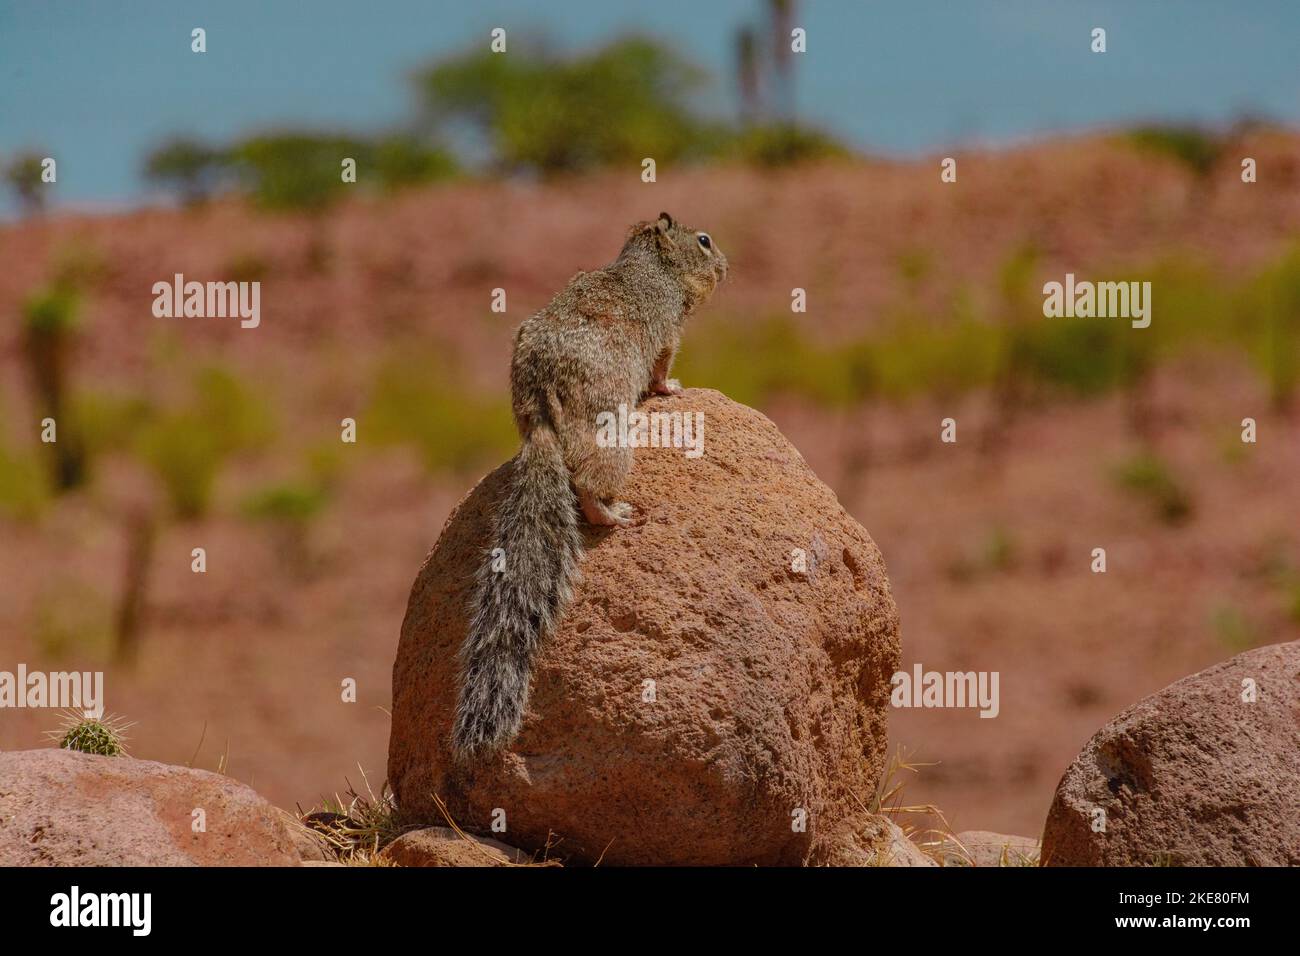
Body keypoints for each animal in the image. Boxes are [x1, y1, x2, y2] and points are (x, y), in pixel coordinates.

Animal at [451, 212, 729, 757]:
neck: (650, 263)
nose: (727, 266)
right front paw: (672, 388)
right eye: (705, 241)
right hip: (609, 431)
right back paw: (613, 514)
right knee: (587, 481)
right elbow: (662, 368)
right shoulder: (667, 333)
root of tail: (538, 406)